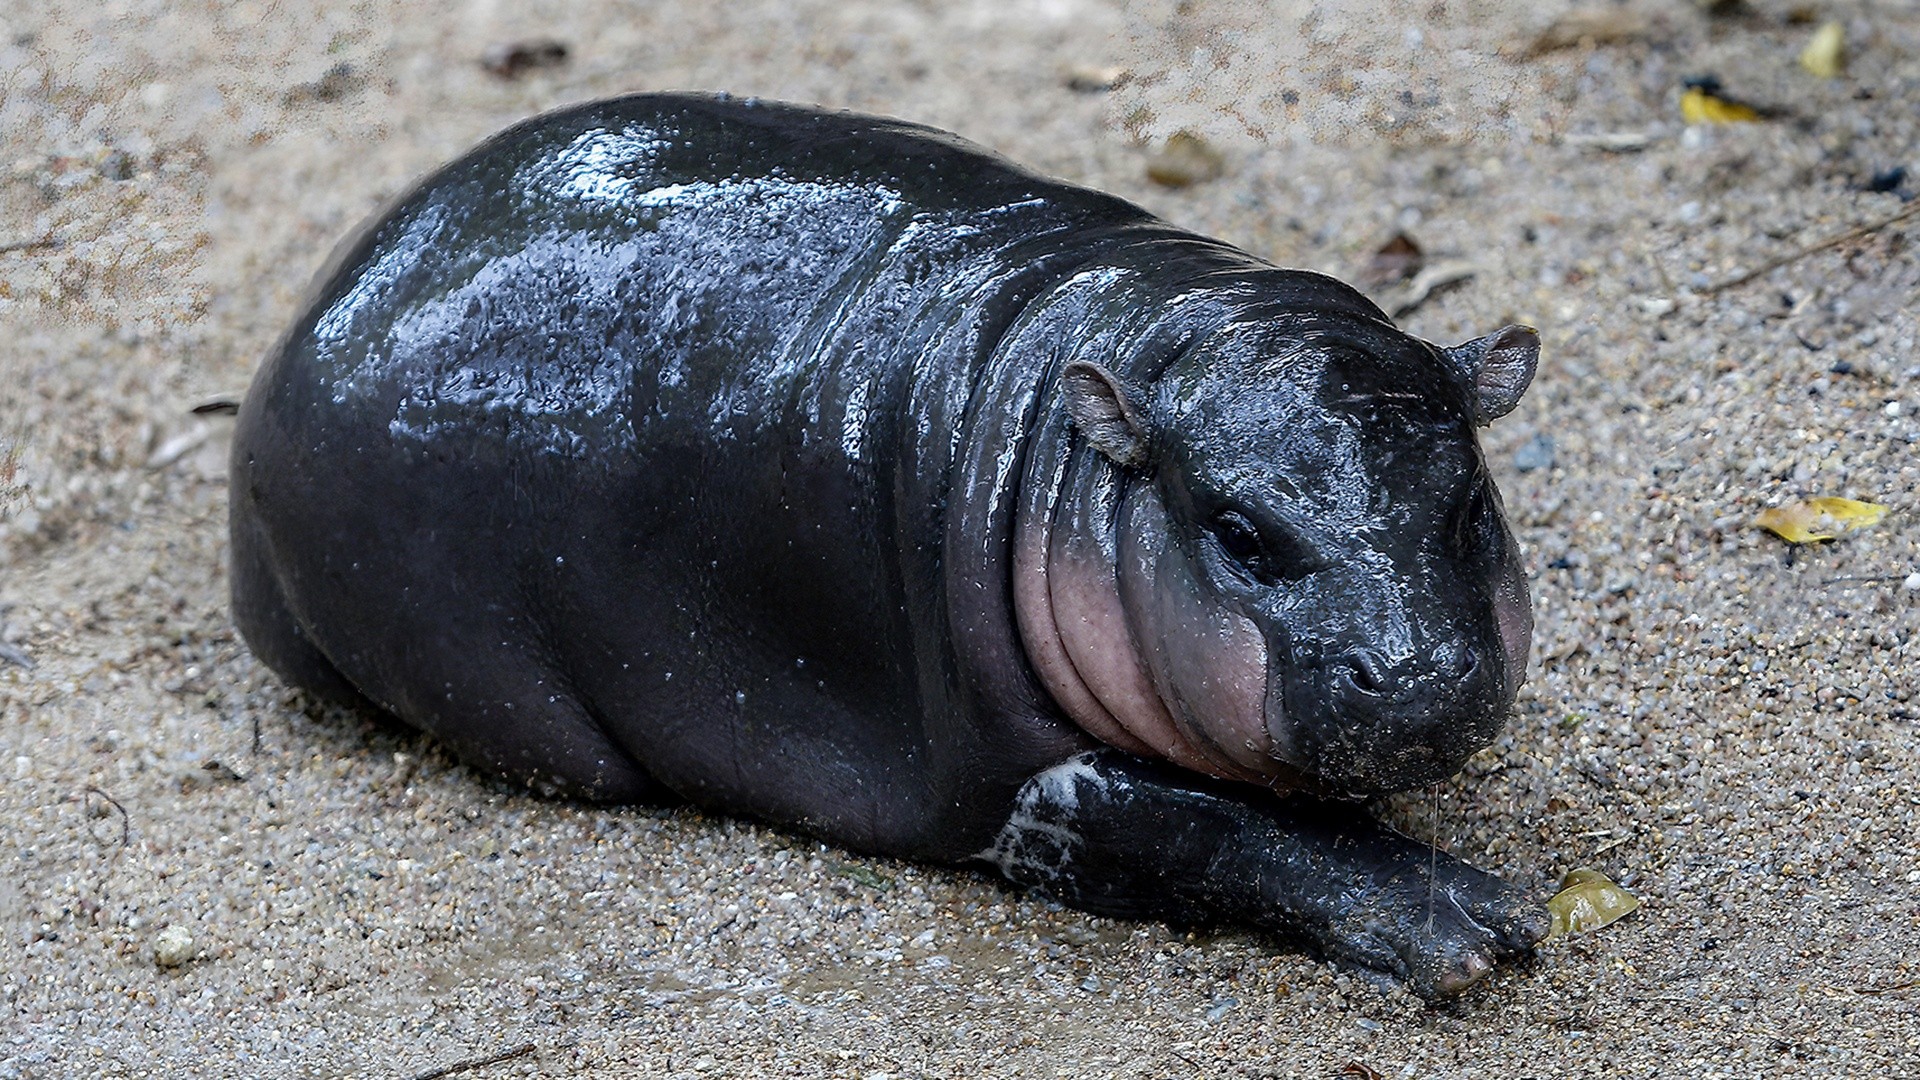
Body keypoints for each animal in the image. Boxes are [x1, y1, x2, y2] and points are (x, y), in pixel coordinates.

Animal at [230, 92, 1548, 998]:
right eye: (1236, 531)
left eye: (1471, 506)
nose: (1418, 671)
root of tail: (303, 328)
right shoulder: (1027, 794)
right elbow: (1224, 828)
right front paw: (1472, 924)